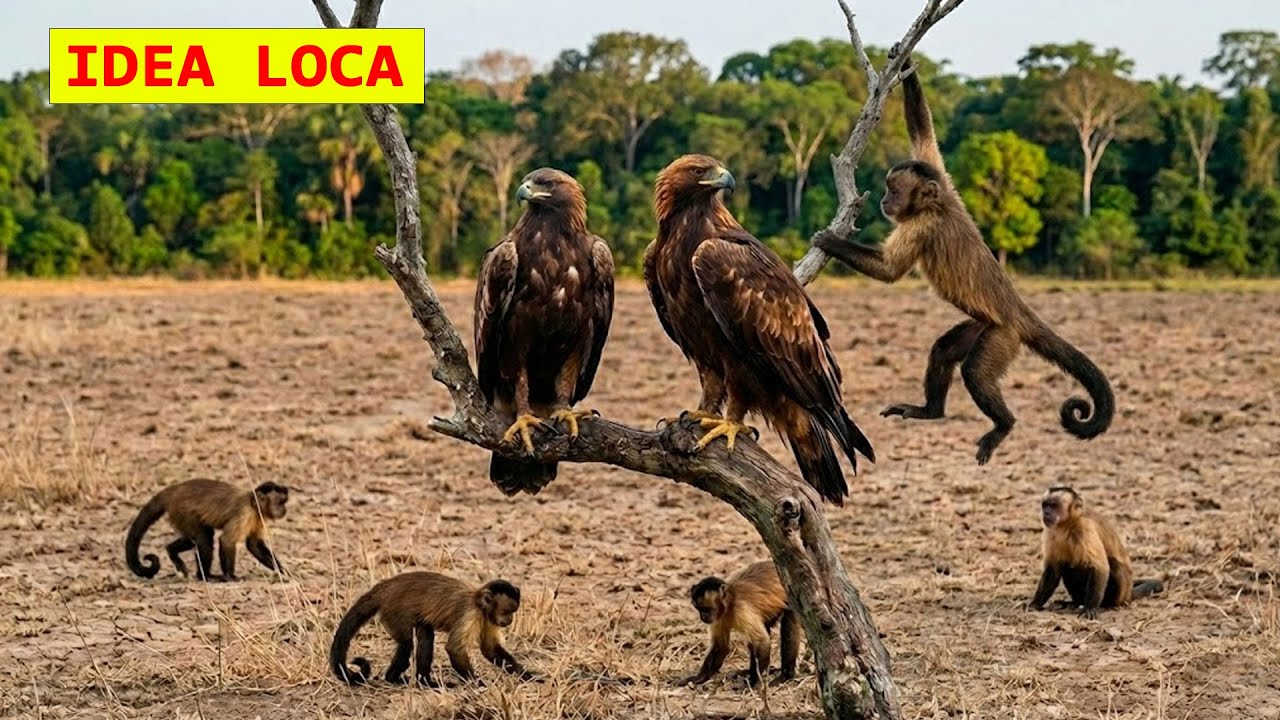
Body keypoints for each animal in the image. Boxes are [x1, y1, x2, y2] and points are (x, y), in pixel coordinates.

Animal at [125, 478, 288, 582]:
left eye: (284, 502)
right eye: (279, 503)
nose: (284, 510)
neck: (253, 504)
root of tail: (176, 489)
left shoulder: (259, 517)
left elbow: (253, 544)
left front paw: (282, 571)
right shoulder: (244, 513)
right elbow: (226, 540)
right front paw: (229, 576)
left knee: (196, 539)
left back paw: (172, 551)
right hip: (183, 511)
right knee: (203, 539)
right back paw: (205, 576)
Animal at [329, 571, 537, 688]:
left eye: (512, 612)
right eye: (507, 611)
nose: (510, 620)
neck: (479, 604)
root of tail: (385, 587)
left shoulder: (488, 618)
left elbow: (490, 650)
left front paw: (527, 675)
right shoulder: (470, 613)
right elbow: (454, 648)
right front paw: (478, 683)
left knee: (425, 635)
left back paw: (424, 681)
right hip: (394, 612)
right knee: (406, 643)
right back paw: (393, 678)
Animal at [814, 56, 1115, 466]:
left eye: (894, 191)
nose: (885, 201)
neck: (936, 203)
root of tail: (1019, 311)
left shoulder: (921, 226)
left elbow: (890, 271)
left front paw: (830, 241)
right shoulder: (943, 179)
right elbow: (923, 131)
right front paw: (905, 61)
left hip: (1003, 336)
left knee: (975, 371)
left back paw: (1003, 426)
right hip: (982, 326)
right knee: (945, 349)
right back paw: (930, 411)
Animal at [1029, 486, 1164, 619]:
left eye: (1054, 505)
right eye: (1045, 505)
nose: (1046, 513)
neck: (1067, 526)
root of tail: (1128, 593)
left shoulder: (1086, 527)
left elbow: (1100, 567)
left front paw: (1090, 608)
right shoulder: (1051, 532)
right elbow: (1052, 571)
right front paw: (1035, 604)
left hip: (1121, 593)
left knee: (1112, 564)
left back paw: (1106, 605)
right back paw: (1075, 602)